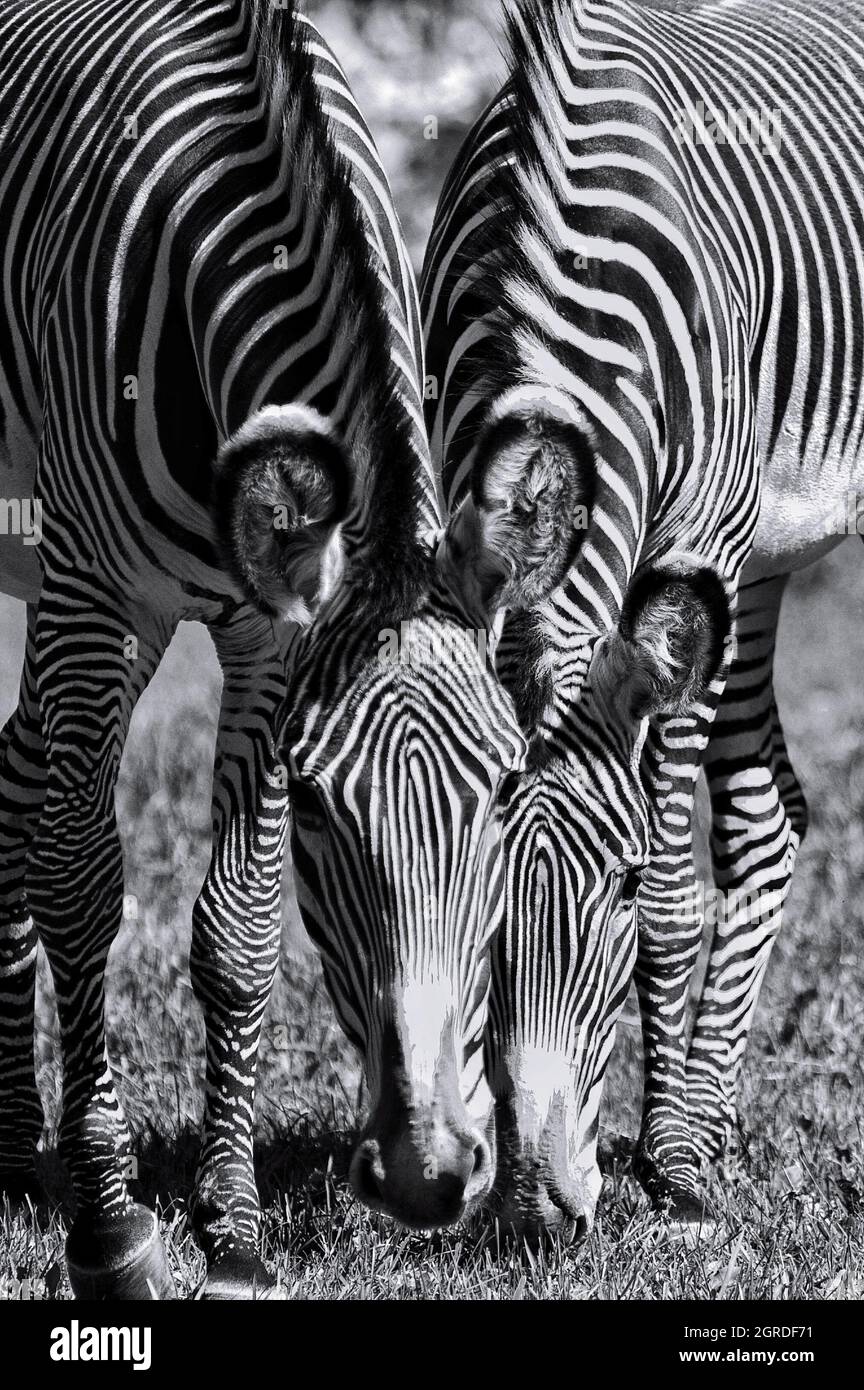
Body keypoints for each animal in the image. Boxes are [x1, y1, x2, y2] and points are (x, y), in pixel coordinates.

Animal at [0, 0, 531, 1299]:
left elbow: (238, 930)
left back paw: (16, 1145)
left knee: (13, 778)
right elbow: (82, 882)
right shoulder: (96, 593)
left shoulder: (269, 639)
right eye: (328, 808)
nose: (429, 1180)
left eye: (506, 792)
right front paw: (114, 1227)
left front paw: (232, 1226)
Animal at [423, 0, 862, 1239]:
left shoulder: (694, 544)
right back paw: (707, 1124)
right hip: (758, 564)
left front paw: (660, 1163)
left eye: (613, 886)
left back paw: (685, 1147)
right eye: (480, 891)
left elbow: (674, 886)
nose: (535, 1207)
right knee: (768, 813)